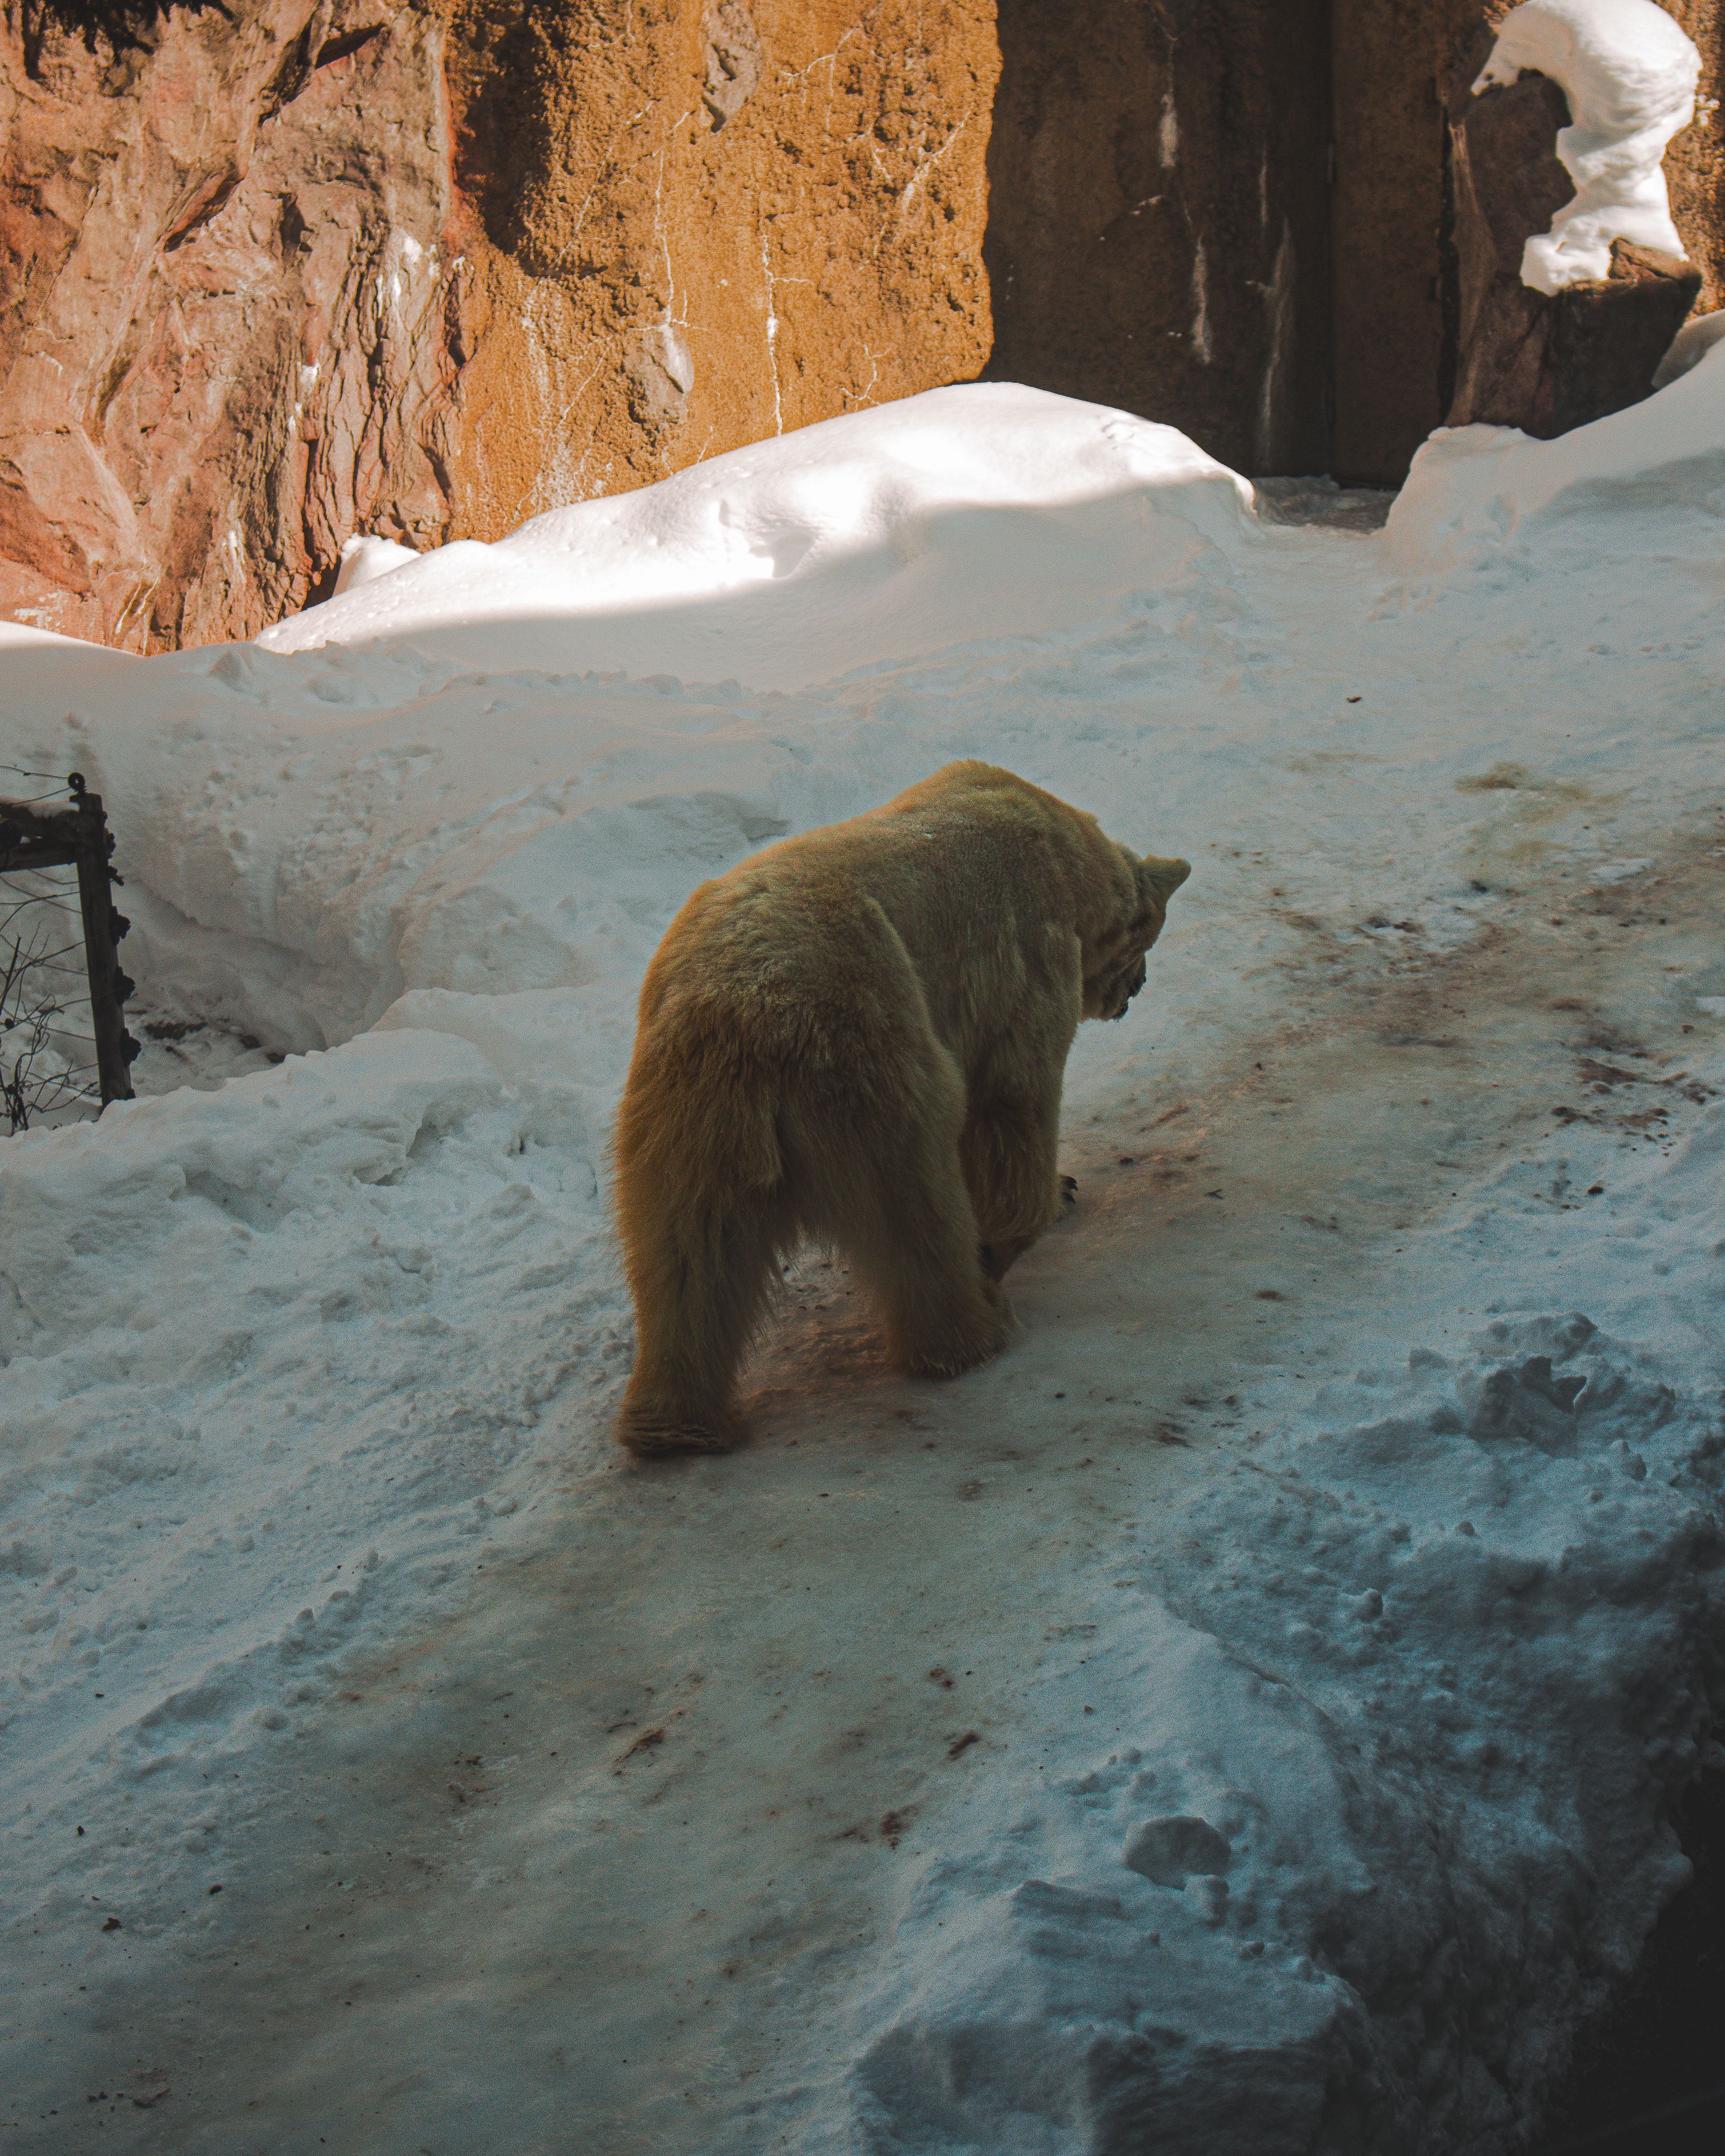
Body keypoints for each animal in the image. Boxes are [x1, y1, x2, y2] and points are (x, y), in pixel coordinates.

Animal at [611, 760, 1190, 1458]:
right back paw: (974, 1330)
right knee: (917, 1199)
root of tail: (741, 1012)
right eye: (1146, 943)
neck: (1068, 856)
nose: (1137, 989)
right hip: (869, 1061)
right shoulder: (1027, 957)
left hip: (679, 1117)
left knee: (686, 1255)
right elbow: (1014, 1102)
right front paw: (1037, 1210)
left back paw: (676, 1424)